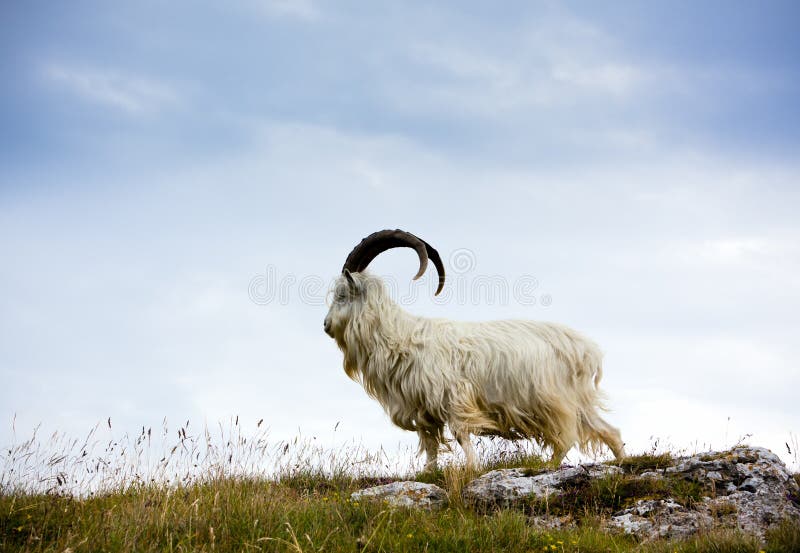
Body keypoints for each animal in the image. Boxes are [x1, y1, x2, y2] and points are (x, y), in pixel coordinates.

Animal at [323, 229, 624, 470]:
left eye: (342, 294)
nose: (325, 325)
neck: (399, 336)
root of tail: (588, 351)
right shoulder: (423, 409)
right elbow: (430, 443)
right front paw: (428, 472)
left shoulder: (453, 397)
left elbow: (461, 434)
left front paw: (470, 468)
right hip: (578, 401)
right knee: (610, 431)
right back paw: (621, 461)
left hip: (554, 401)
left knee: (567, 438)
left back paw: (547, 467)